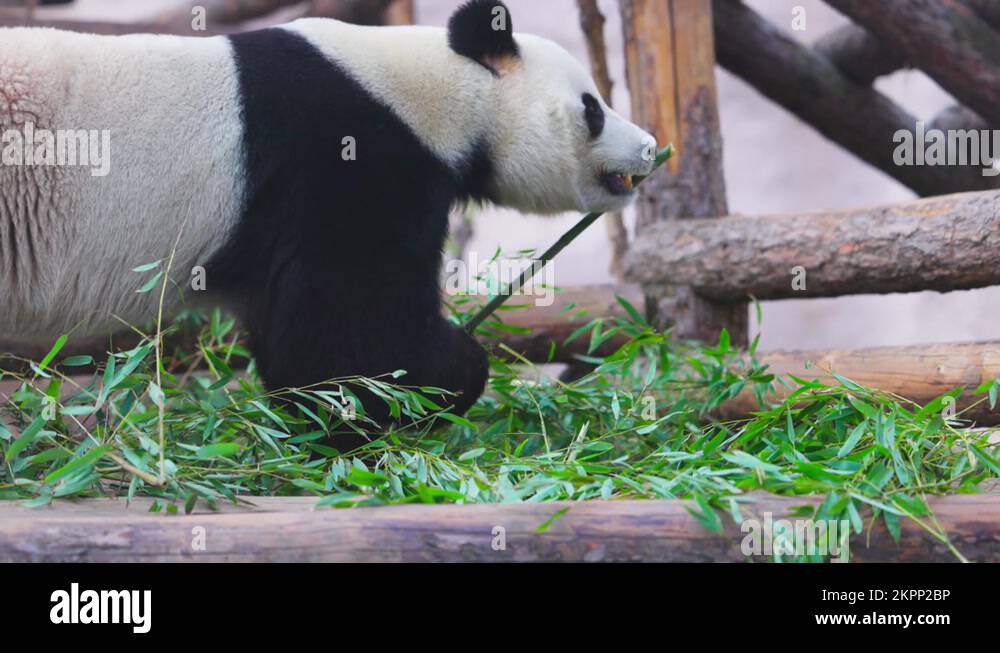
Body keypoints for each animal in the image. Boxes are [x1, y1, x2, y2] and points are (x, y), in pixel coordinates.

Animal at [0, 0, 655, 444]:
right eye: (593, 108)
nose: (650, 148)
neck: (437, 91)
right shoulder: (343, 160)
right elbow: (347, 327)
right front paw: (445, 374)